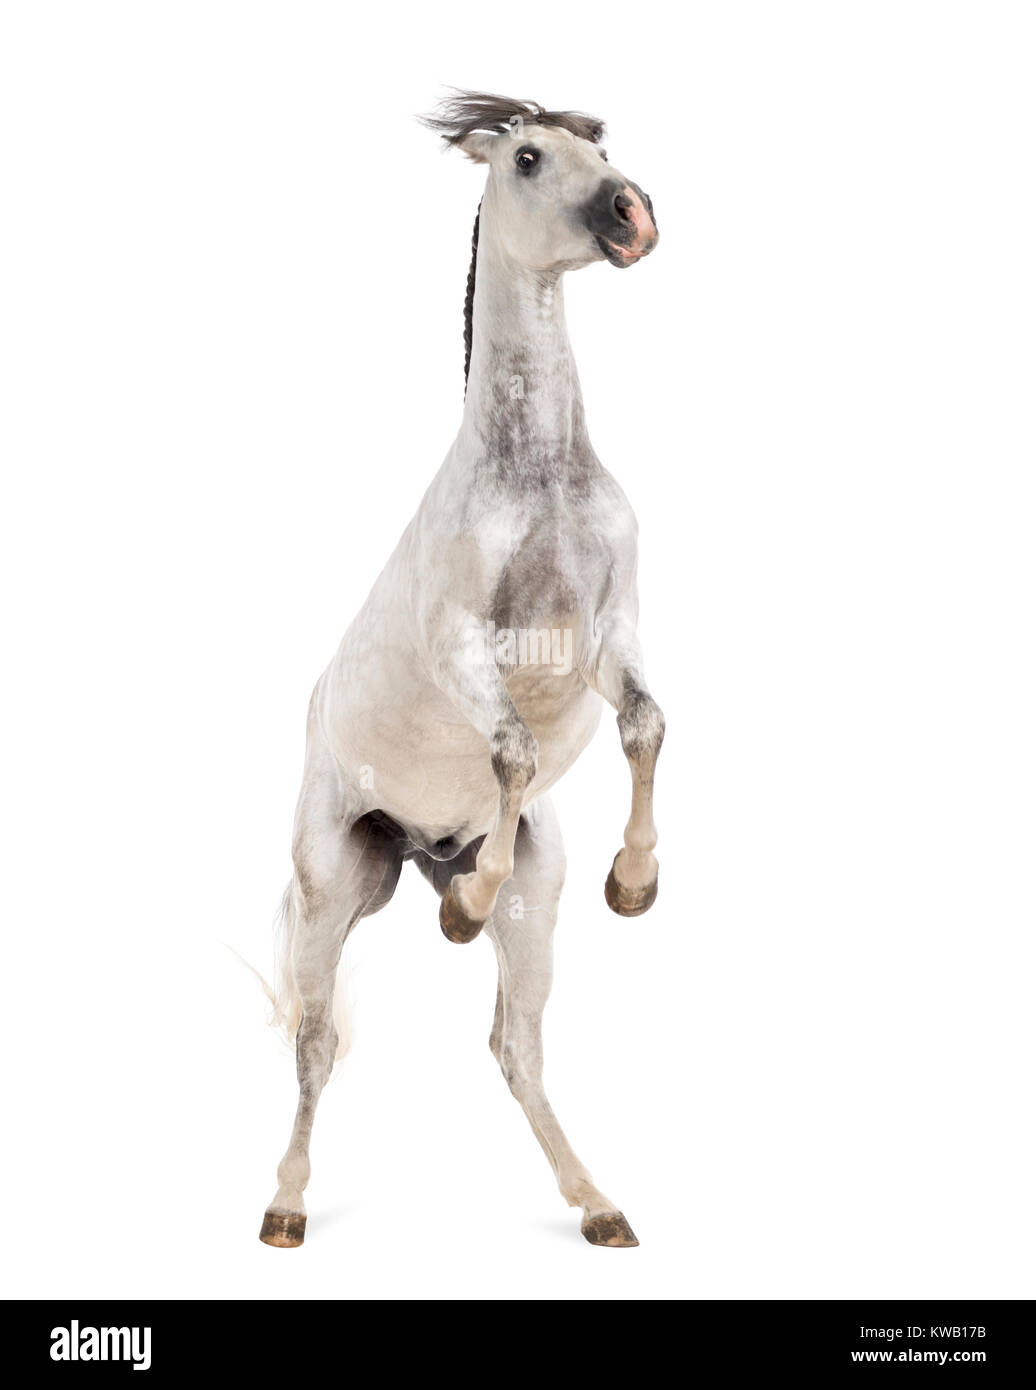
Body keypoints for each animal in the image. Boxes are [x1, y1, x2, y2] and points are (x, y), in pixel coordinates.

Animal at [259, 92, 664, 1250]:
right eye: (527, 156)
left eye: (600, 149)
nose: (631, 213)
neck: (541, 479)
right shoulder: (464, 653)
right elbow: (513, 748)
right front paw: (462, 908)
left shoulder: (610, 634)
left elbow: (646, 723)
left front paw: (634, 885)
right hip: (330, 887)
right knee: (312, 1042)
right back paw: (284, 1208)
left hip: (537, 900)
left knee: (515, 1047)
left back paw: (601, 1206)